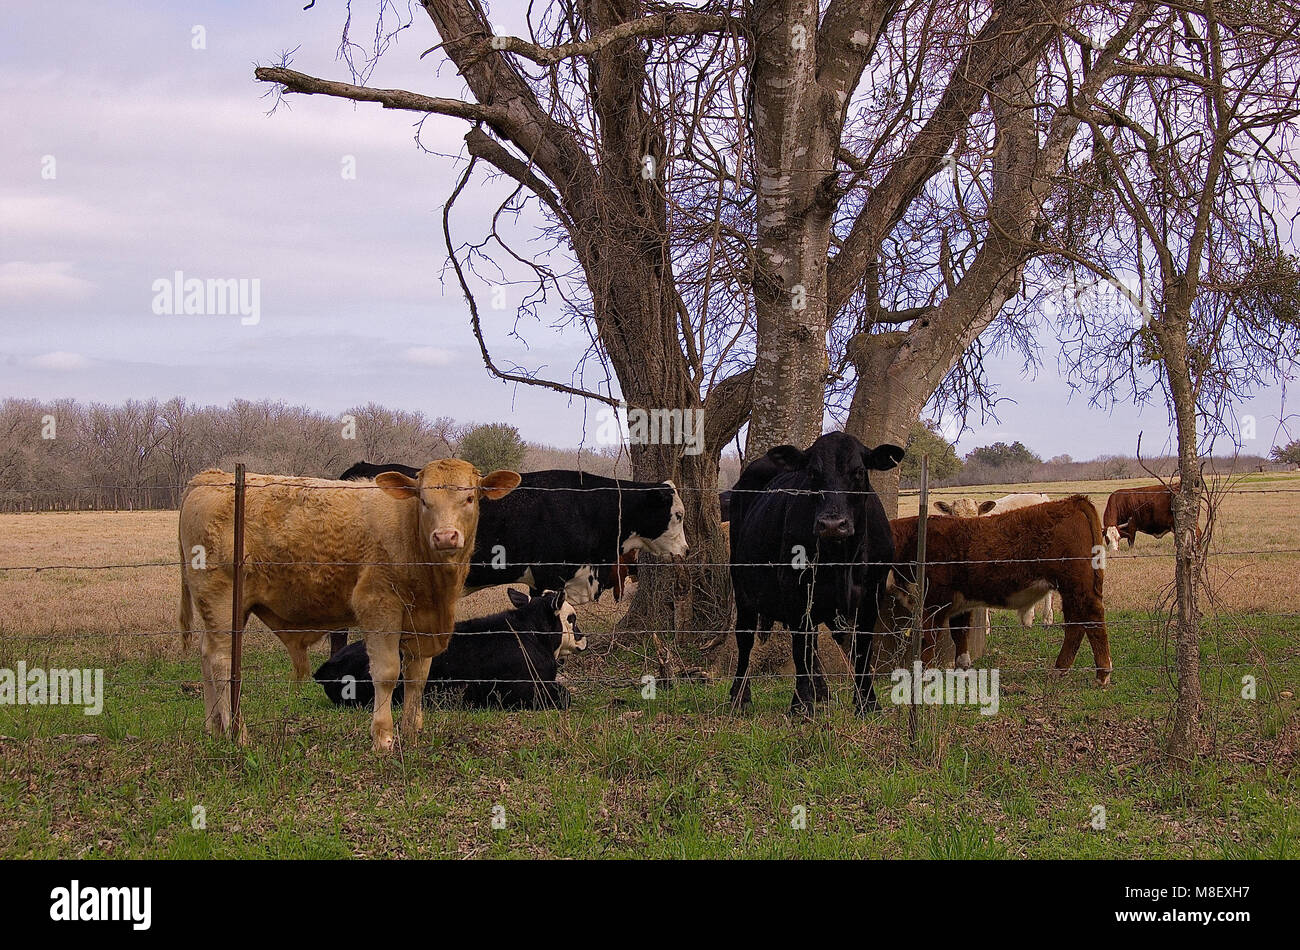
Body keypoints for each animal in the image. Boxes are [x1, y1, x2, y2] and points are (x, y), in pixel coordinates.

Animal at [178, 460, 520, 750]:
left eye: (470, 498)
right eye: (424, 500)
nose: (446, 536)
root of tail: (208, 478)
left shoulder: (422, 622)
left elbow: (417, 676)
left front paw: (411, 732)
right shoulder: (378, 605)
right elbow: (387, 672)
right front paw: (383, 737)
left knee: (207, 655)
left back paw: (214, 727)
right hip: (221, 599)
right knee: (221, 661)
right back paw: (237, 733)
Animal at [313, 588, 583, 710]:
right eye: (571, 618)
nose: (582, 638)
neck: (529, 634)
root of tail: (327, 667)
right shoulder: (529, 692)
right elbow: (566, 695)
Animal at [729, 432, 905, 715]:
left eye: (859, 472)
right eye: (813, 473)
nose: (832, 524)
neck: (842, 559)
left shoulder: (873, 592)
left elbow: (862, 648)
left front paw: (868, 703)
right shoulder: (795, 589)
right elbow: (800, 647)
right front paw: (801, 706)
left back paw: (822, 692)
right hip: (742, 585)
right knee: (745, 638)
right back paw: (740, 696)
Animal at [888, 494, 1111, 685]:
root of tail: (1072, 502)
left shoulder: (933, 603)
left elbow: (928, 639)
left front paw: (923, 674)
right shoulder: (959, 602)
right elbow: (960, 633)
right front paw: (962, 667)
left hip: (1077, 585)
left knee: (1091, 616)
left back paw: (1102, 675)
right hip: (1071, 589)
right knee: (1075, 623)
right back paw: (1060, 669)